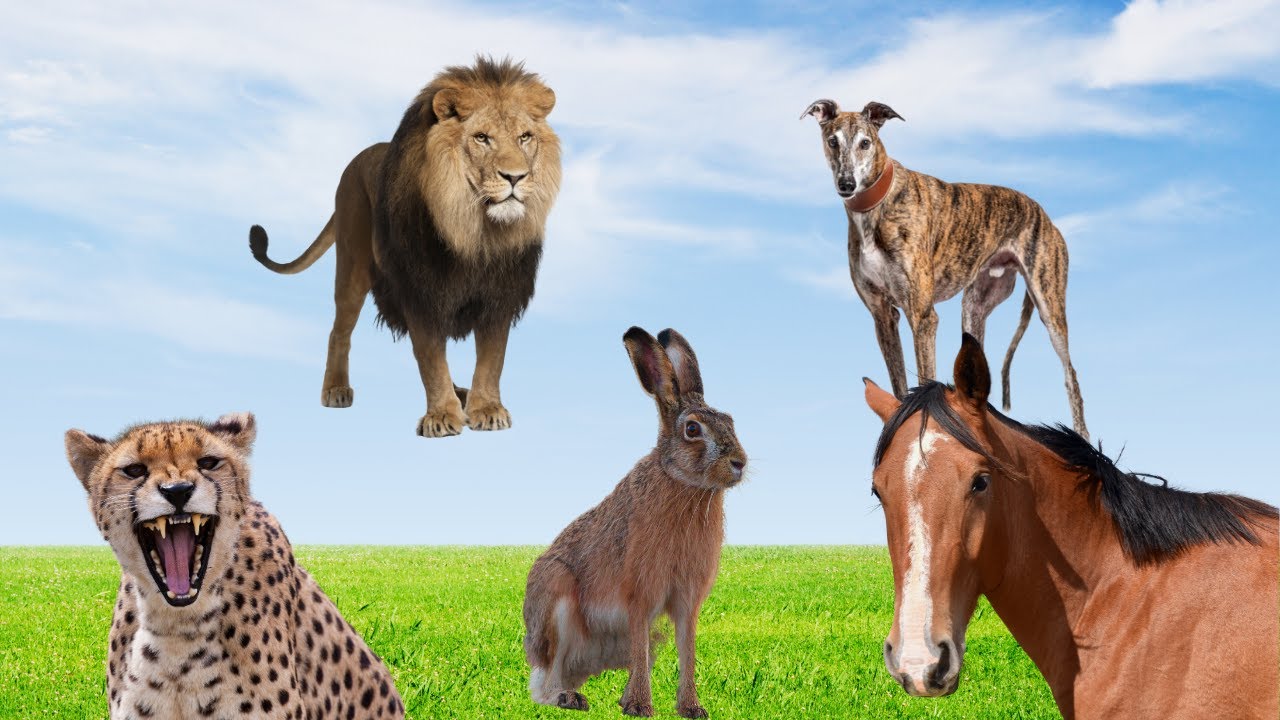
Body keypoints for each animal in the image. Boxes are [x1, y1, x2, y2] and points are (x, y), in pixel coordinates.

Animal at [249, 56, 561, 437]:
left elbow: (491, 359)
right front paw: (441, 416)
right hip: (352, 266)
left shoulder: (499, 294)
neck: (475, 231)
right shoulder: (420, 290)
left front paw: (486, 408)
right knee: (338, 331)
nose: (515, 177)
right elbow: (431, 358)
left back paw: (463, 394)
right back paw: (336, 389)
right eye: (482, 138)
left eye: (524, 137)